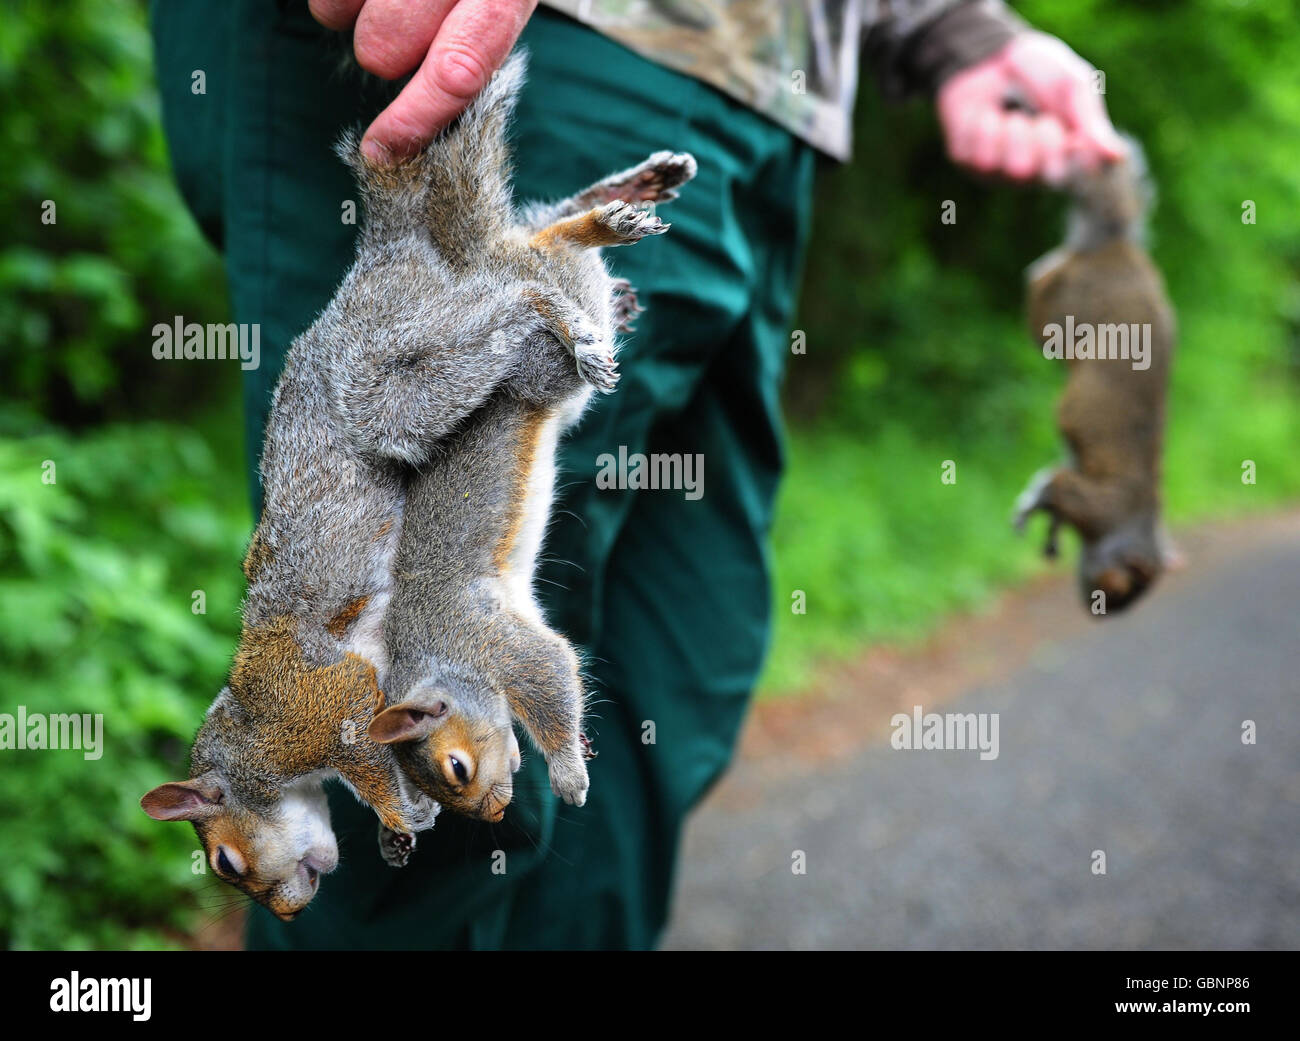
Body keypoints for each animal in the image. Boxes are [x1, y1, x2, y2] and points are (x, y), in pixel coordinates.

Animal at [362, 55, 696, 820]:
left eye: (452, 766)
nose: (493, 812)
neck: (433, 652)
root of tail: (483, 265)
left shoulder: (487, 638)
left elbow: (551, 677)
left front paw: (569, 773)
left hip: (543, 339)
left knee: (556, 249)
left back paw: (607, 221)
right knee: (549, 234)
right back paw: (626, 200)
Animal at [1013, 144, 1176, 613]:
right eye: (1125, 586)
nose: (1107, 609)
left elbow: (1059, 486)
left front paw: (1048, 527)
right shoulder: (1098, 506)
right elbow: (1060, 487)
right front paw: (1037, 505)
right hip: (1074, 297)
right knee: (1046, 302)